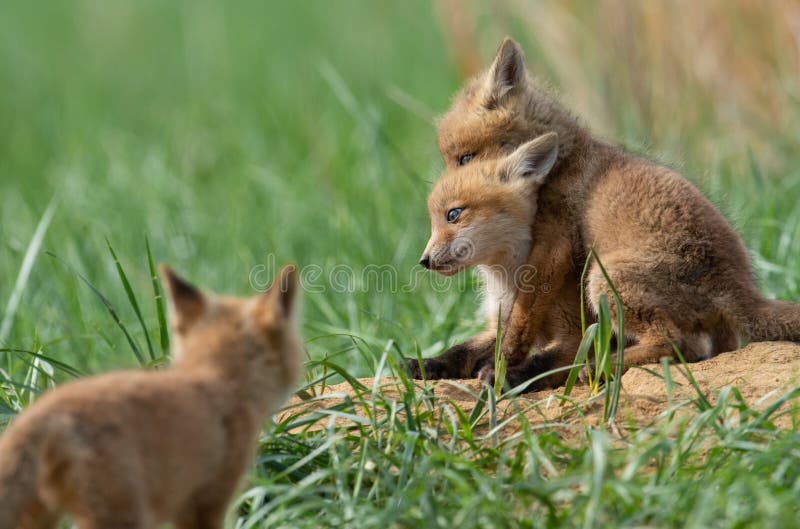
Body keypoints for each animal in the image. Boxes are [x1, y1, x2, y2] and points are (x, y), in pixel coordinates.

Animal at [407, 37, 800, 391]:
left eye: (465, 159)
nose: (425, 260)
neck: (567, 161)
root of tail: (743, 287)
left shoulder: (555, 239)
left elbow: (524, 318)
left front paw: (506, 367)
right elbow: (465, 348)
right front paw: (431, 364)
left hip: (602, 278)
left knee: (678, 344)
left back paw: (599, 367)